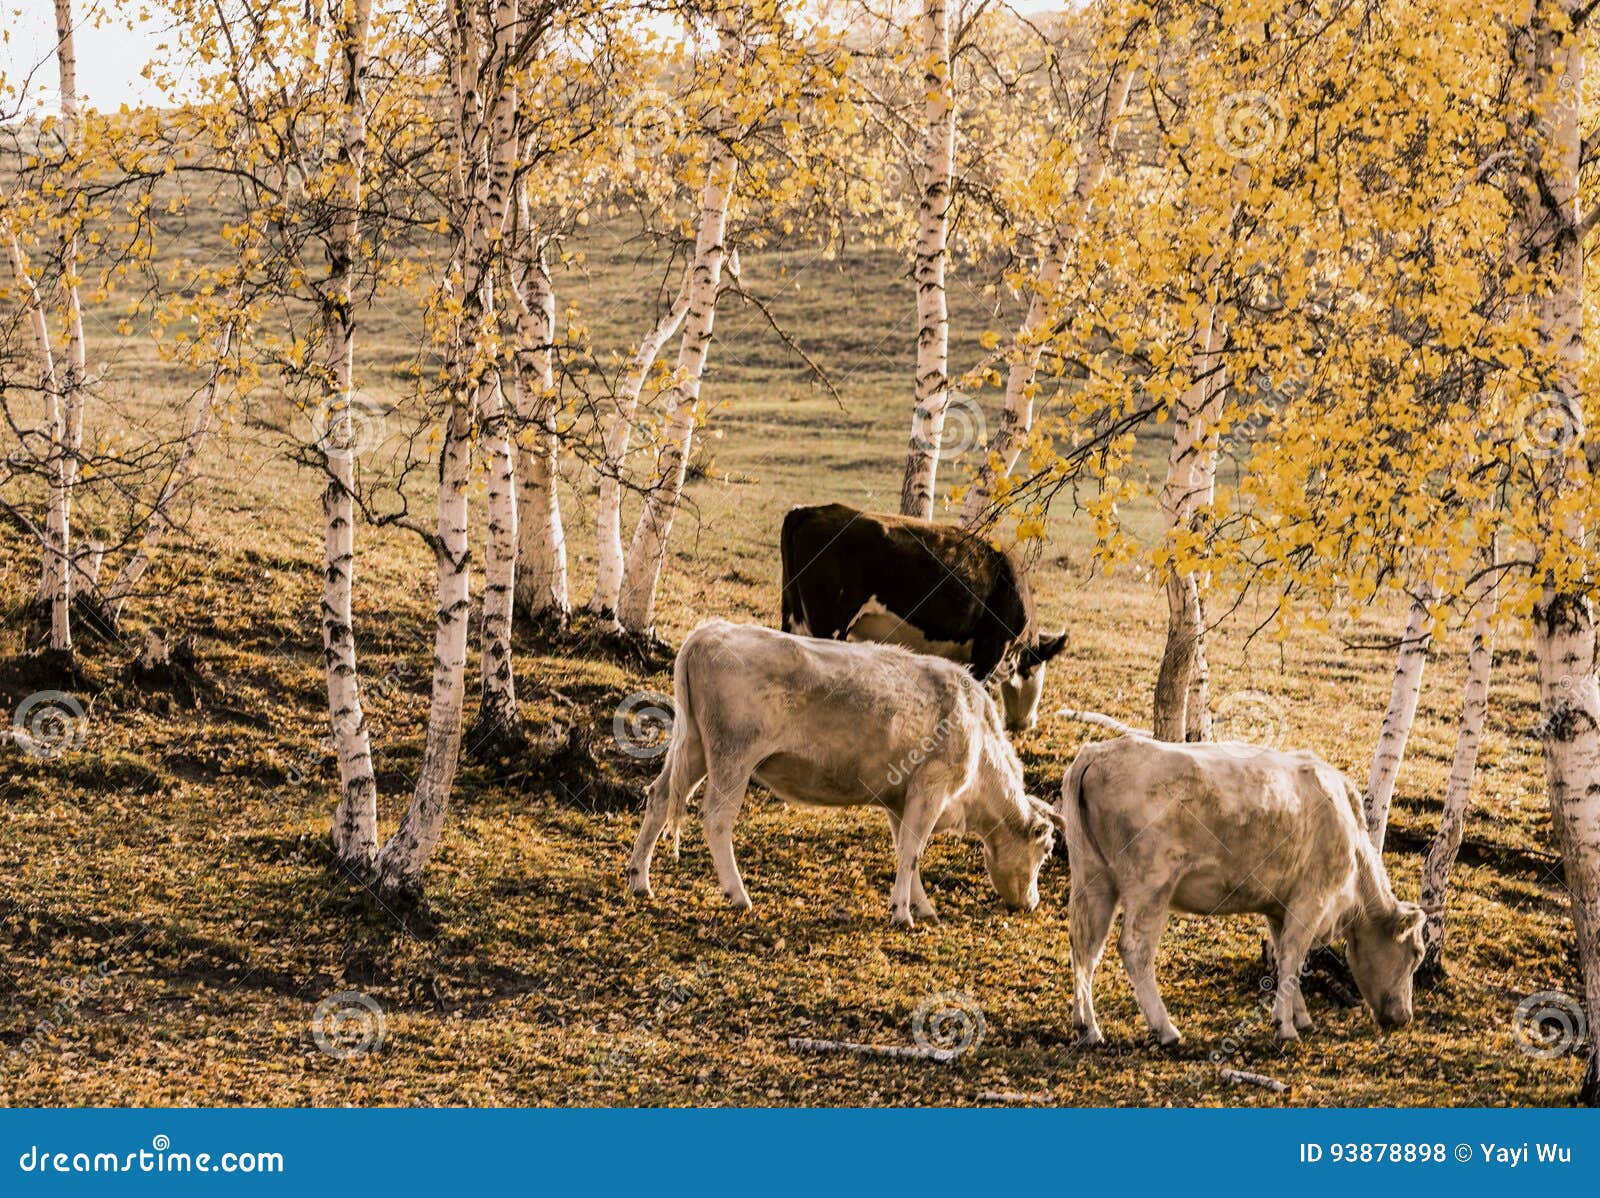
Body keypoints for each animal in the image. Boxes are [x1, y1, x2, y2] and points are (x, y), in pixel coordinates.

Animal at [625, 619, 1058, 926]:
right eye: (1047, 851)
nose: (1032, 903)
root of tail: (710, 631)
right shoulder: (930, 787)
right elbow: (913, 851)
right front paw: (903, 913)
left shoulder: (901, 798)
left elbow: (906, 851)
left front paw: (920, 906)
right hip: (733, 756)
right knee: (716, 818)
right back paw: (737, 893)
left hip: (693, 748)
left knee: (660, 798)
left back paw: (640, 880)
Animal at [779, 502, 1066, 733]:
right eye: (1039, 667)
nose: (1027, 723)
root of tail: (808, 511)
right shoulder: (990, 651)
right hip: (829, 627)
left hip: (792, 615)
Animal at [1059, 736, 1426, 1047]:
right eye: (1416, 953)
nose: (1404, 1017)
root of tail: (1098, 752)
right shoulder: (1312, 899)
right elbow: (1293, 957)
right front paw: (1285, 1026)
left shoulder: (1280, 908)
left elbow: (1282, 957)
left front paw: (1301, 1017)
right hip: (1150, 885)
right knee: (1133, 949)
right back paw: (1165, 1029)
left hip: (1093, 879)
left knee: (1085, 946)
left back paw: (1087, 1027)